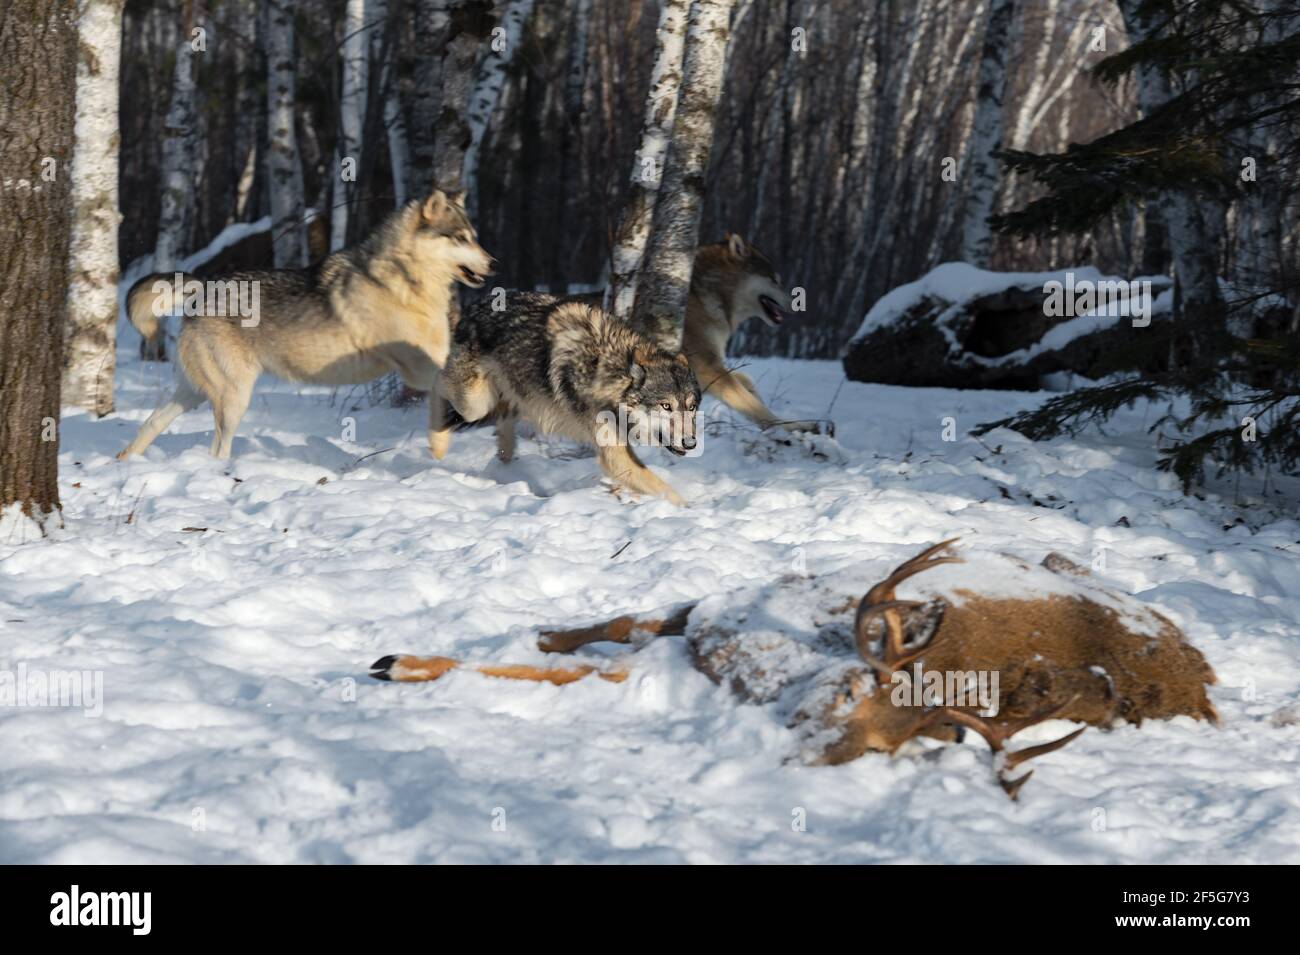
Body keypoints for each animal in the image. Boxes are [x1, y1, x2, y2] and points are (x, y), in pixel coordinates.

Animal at [116, 189, 494, 460]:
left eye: (475, 237)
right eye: (461, 238)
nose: (493, 262)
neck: (404, 282)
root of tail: (207, 284)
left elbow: (439, 410)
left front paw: (438, 449)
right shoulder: (417, 370)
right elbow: (454, 390)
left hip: (193, 393)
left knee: (149, 425)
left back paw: (128, 461)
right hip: (233, 398)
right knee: (217, 448)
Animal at [432, 292, 700, 506]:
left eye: (691, 407)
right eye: (666, 406)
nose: (690, 443)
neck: (609, 372)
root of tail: (474, 305)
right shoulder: (617, 458)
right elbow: (666, 490)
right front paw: (689, 512)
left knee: (503, 416)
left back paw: (505, 458)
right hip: (474, 403)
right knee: (437, 386)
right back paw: (436, 445)